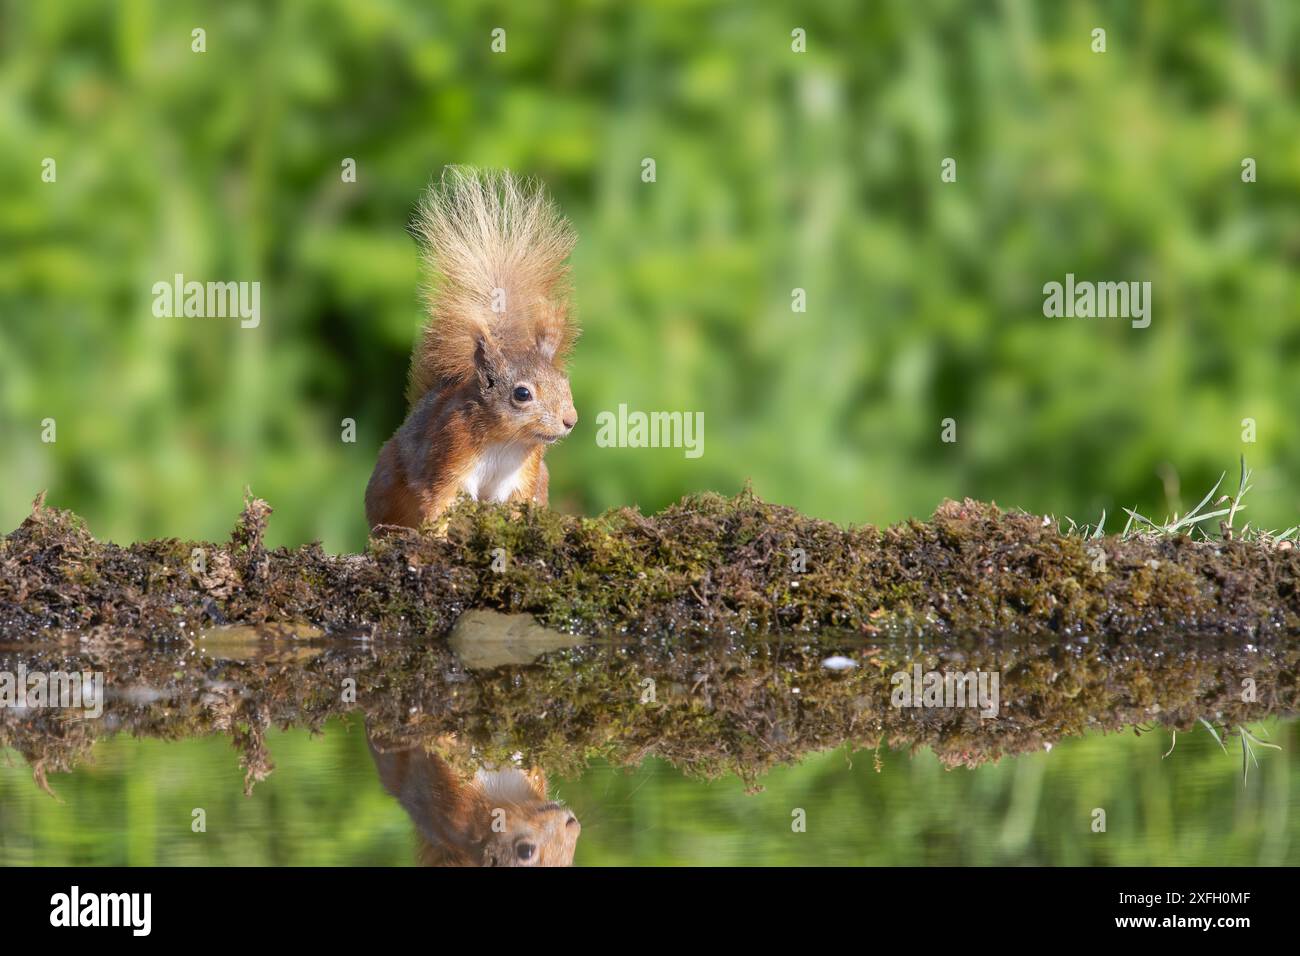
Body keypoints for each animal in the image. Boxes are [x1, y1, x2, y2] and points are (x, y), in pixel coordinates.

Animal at [365, 168, 579, 531]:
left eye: (565, 382)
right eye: (522, 394)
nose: (570, 420)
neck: (505, 442)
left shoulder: (522, 479)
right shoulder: (448, 459)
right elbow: (438, 504)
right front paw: (437, 538)